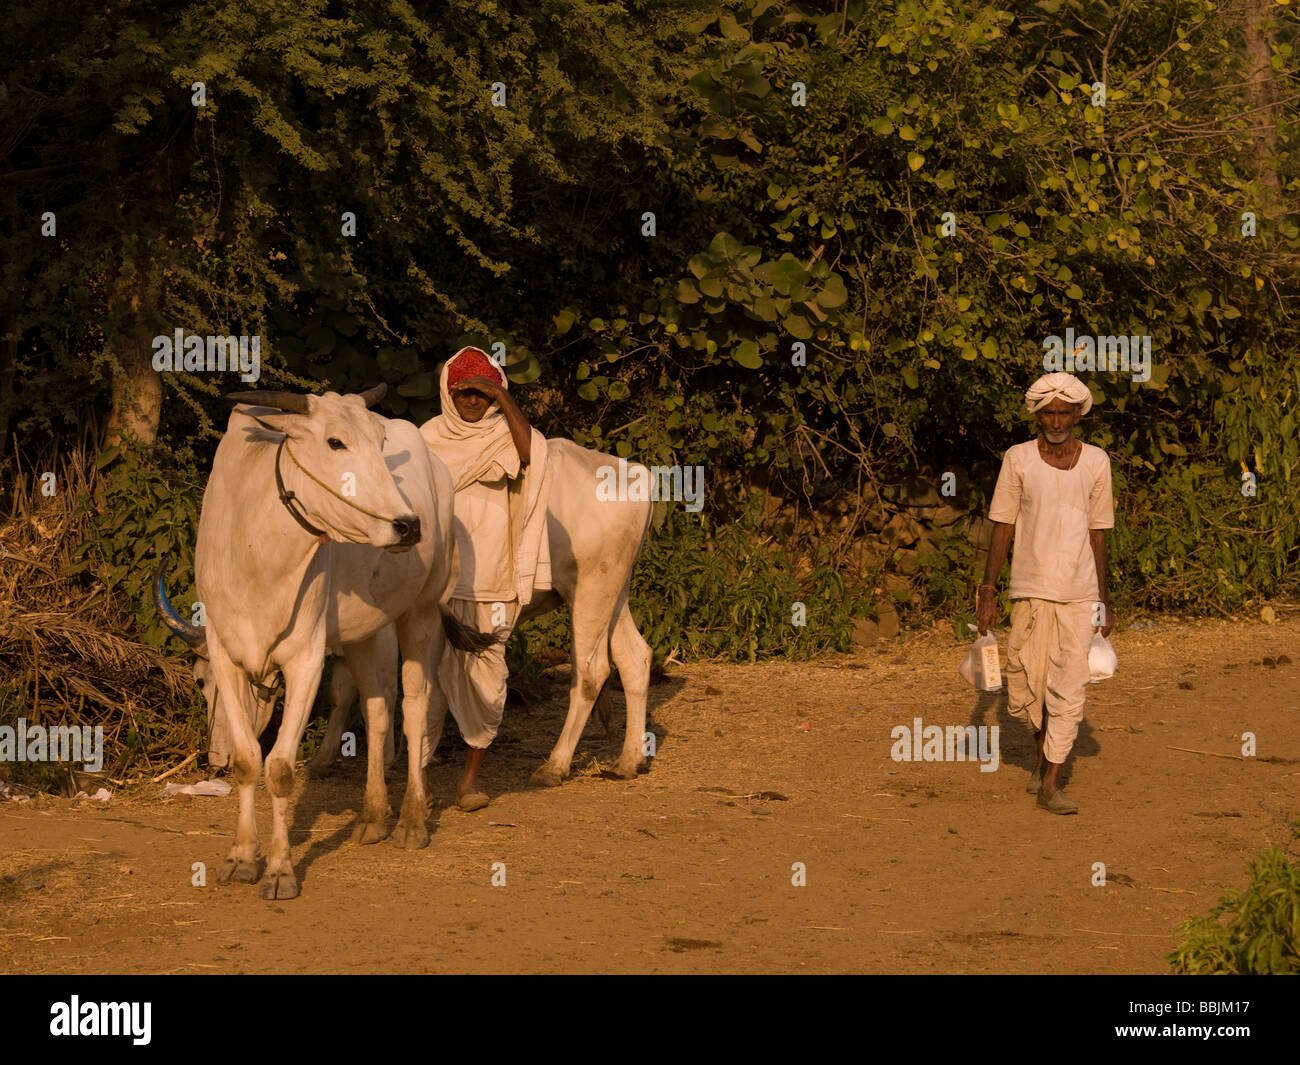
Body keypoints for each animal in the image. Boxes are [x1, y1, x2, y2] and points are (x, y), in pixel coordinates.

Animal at [156, 384, 492, 900]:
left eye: (378, 440)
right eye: (335, 442)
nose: (408, 525)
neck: (256, 553)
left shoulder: (307, 659)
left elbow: (279, 769)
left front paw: (279, 870)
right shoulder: (227, 654)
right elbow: (249, 762)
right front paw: (241, 858)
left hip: (422, 613)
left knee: (414, 707)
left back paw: (412, 820)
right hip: (366, 631)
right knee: (376, 710)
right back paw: (372, 818)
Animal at [305, 437, 656, 790]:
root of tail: (634, 472)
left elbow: (381, 692)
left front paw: (388, 760)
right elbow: (342, 690)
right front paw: (323, 759)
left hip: (590, 591)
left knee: (591, 671)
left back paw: (555, 764)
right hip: (613, 592)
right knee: (634, 657)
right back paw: (628, 760)